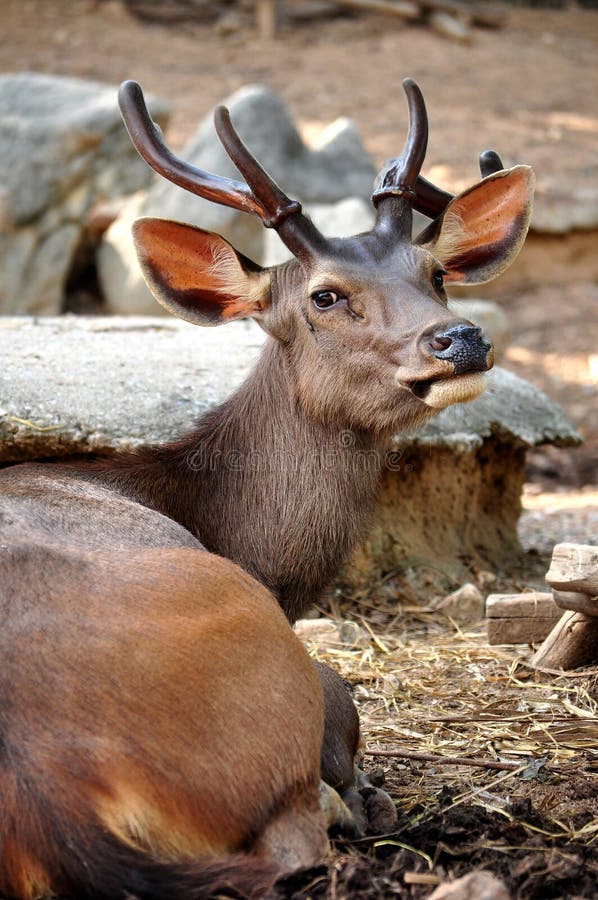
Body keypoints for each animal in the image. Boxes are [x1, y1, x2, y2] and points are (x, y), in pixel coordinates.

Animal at [0, 78, 534, 899]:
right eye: (325, 296)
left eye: (436, 272)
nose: (460, 338)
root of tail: (52, 787)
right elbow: (344, 698)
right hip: (249, 652)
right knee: (294, 836)